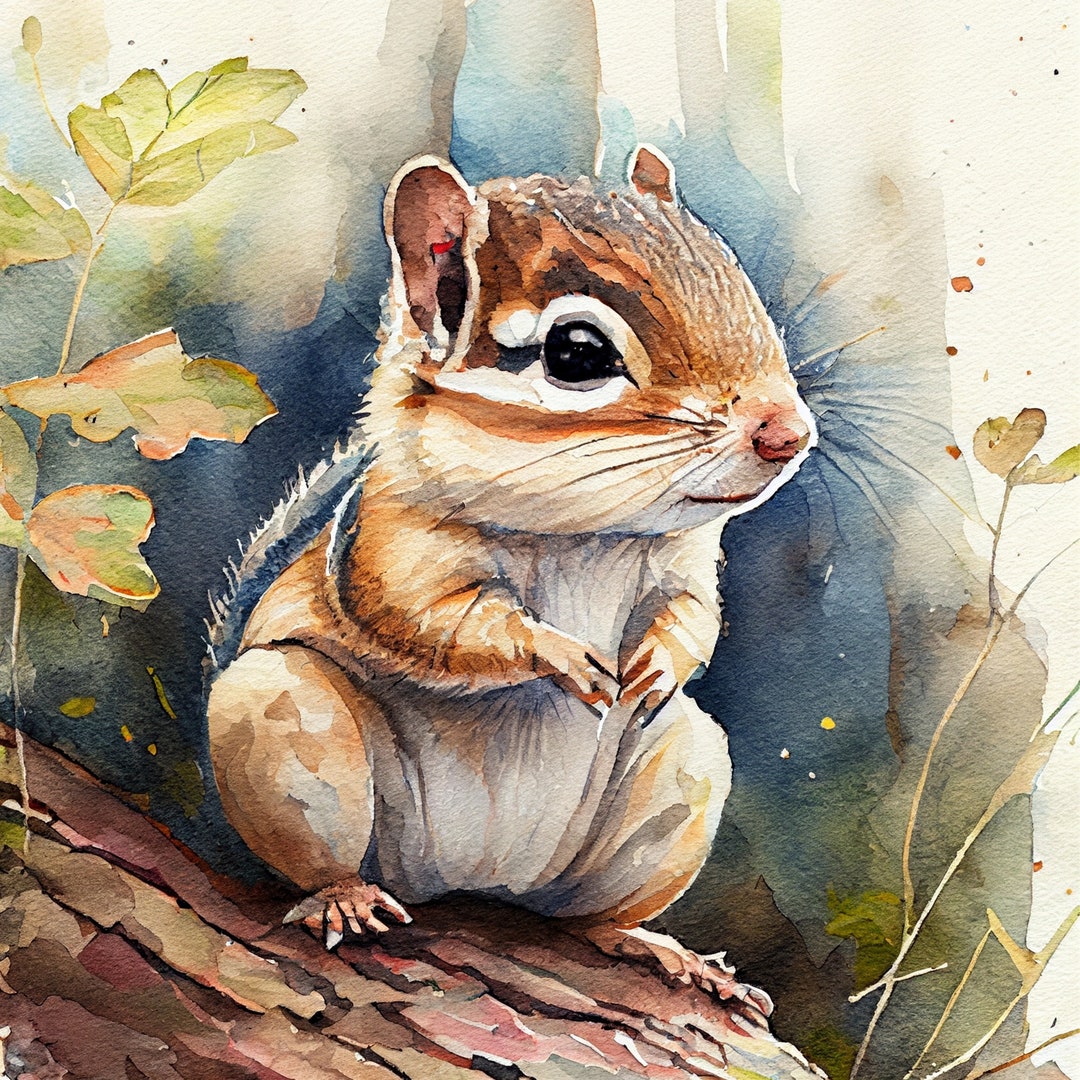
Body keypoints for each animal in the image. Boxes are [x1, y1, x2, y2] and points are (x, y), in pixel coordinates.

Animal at [206, 145, 814, 991]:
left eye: (739, 283)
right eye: (578, 354)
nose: (787, 432)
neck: (588, 535)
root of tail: (477, 877)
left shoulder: (685, 565)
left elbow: (694, 617)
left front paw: (656, 667)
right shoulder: (396, 539)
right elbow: (434, 614)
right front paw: (561, 654)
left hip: (684, 777)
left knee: (584, 916)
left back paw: (657, 947)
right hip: (284, 719)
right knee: (324, 857)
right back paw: (345, 898)